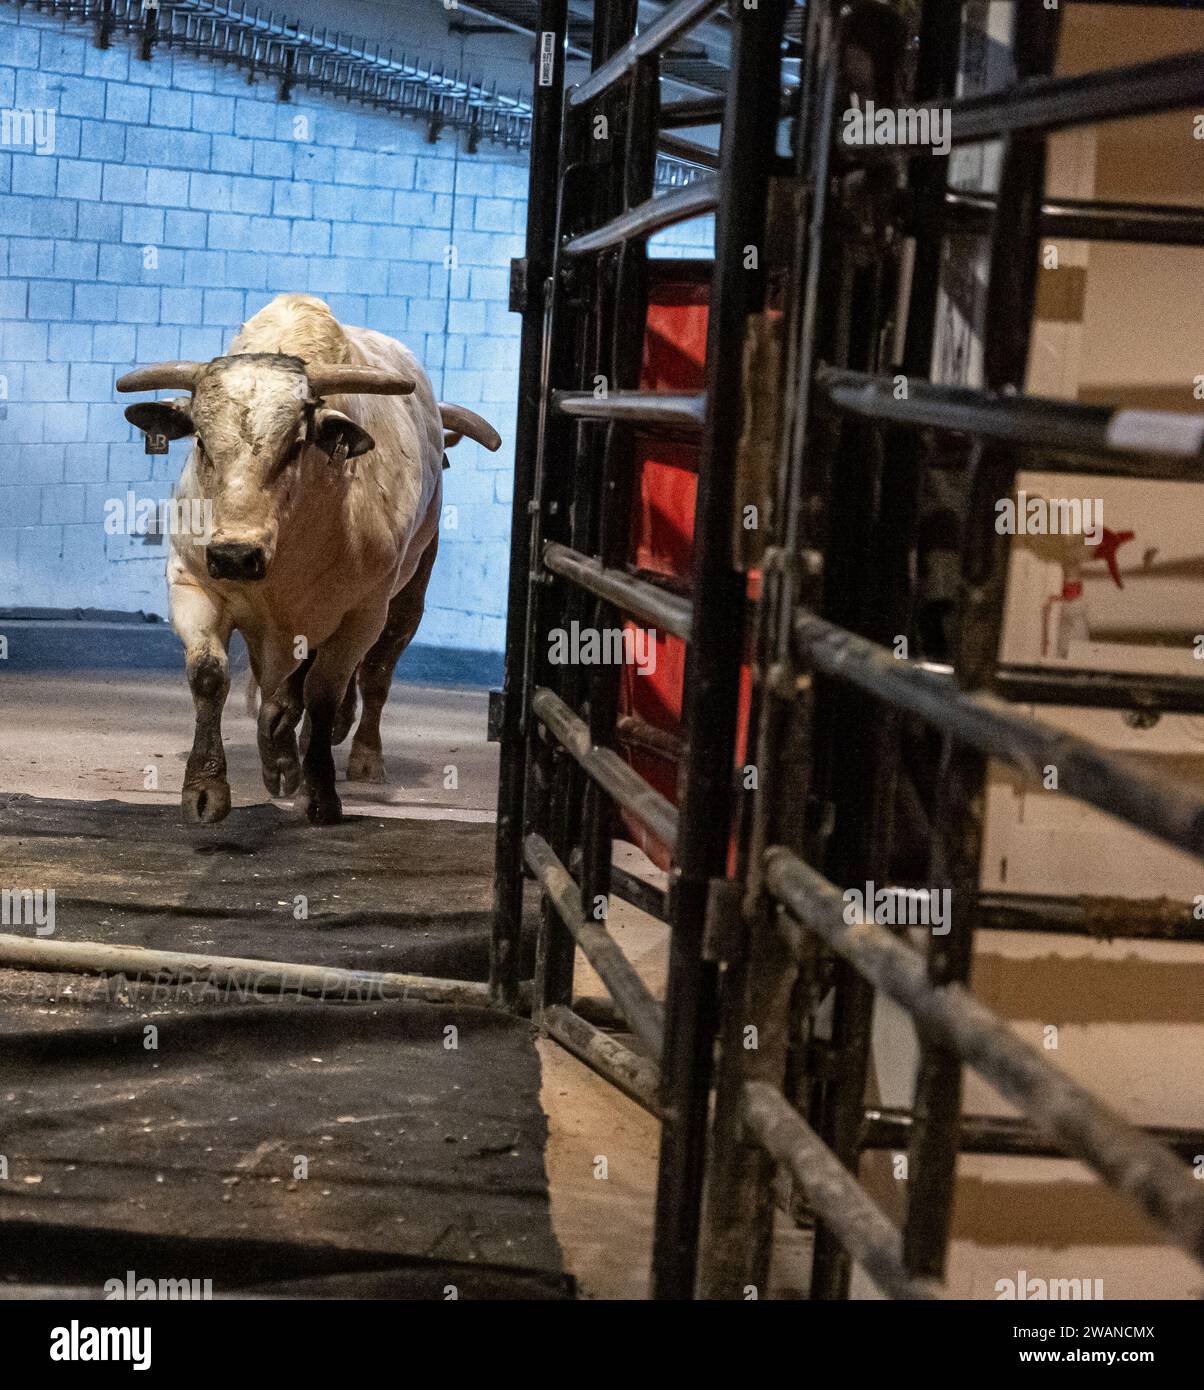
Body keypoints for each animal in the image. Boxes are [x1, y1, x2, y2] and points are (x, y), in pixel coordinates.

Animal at [117, 293, 501, 826]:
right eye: (200, 440)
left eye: (296, 443)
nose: (236, 555)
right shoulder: (193, 583)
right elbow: (210, 675)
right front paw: (206, 786)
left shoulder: (361, 613)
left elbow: (324, 693)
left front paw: (320, 791)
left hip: (409, 591)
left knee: (375, 674)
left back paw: (361, 758)